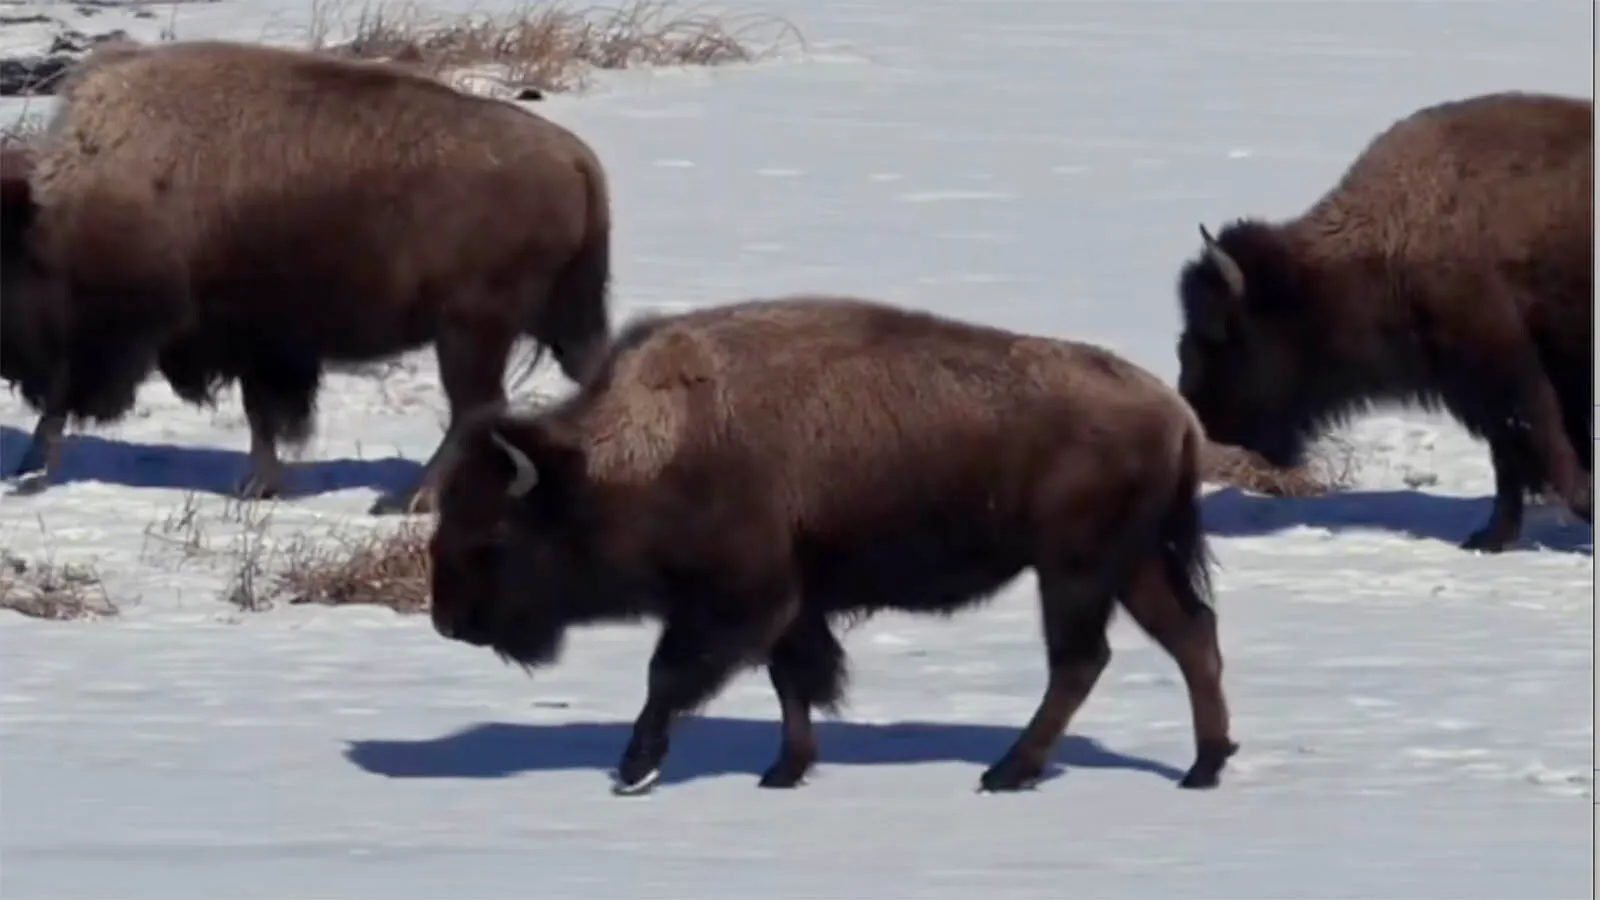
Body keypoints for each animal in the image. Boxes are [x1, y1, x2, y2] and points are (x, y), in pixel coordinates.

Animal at [1, 39, 612, 514]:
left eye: (21, 269)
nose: (14, 370)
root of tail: (575, 157)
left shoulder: (242, 343)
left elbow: (260, 415)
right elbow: (262, 417)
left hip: (470, 329)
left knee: (476, 408)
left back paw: (408, 499)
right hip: (547, 321)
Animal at [428, 295, 1238, 796]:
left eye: (494, 531)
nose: (448, 619)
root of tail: (1175, 412)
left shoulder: (739, 599)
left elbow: (672, 675)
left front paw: (636, 769)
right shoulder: (790, 604)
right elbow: (793, 681)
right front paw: (783, 771)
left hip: (1073, 570)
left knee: (1081, 660)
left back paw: (1007, 772)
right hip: (1129, 565)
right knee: (1190, 636)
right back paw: (1202, 768)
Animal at [1175, 91, 1592, 552]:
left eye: (1221, 330)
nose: (1199, 408)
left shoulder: (1502, 366)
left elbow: (1538, 441)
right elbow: (1518, 456)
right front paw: (1488, 538)